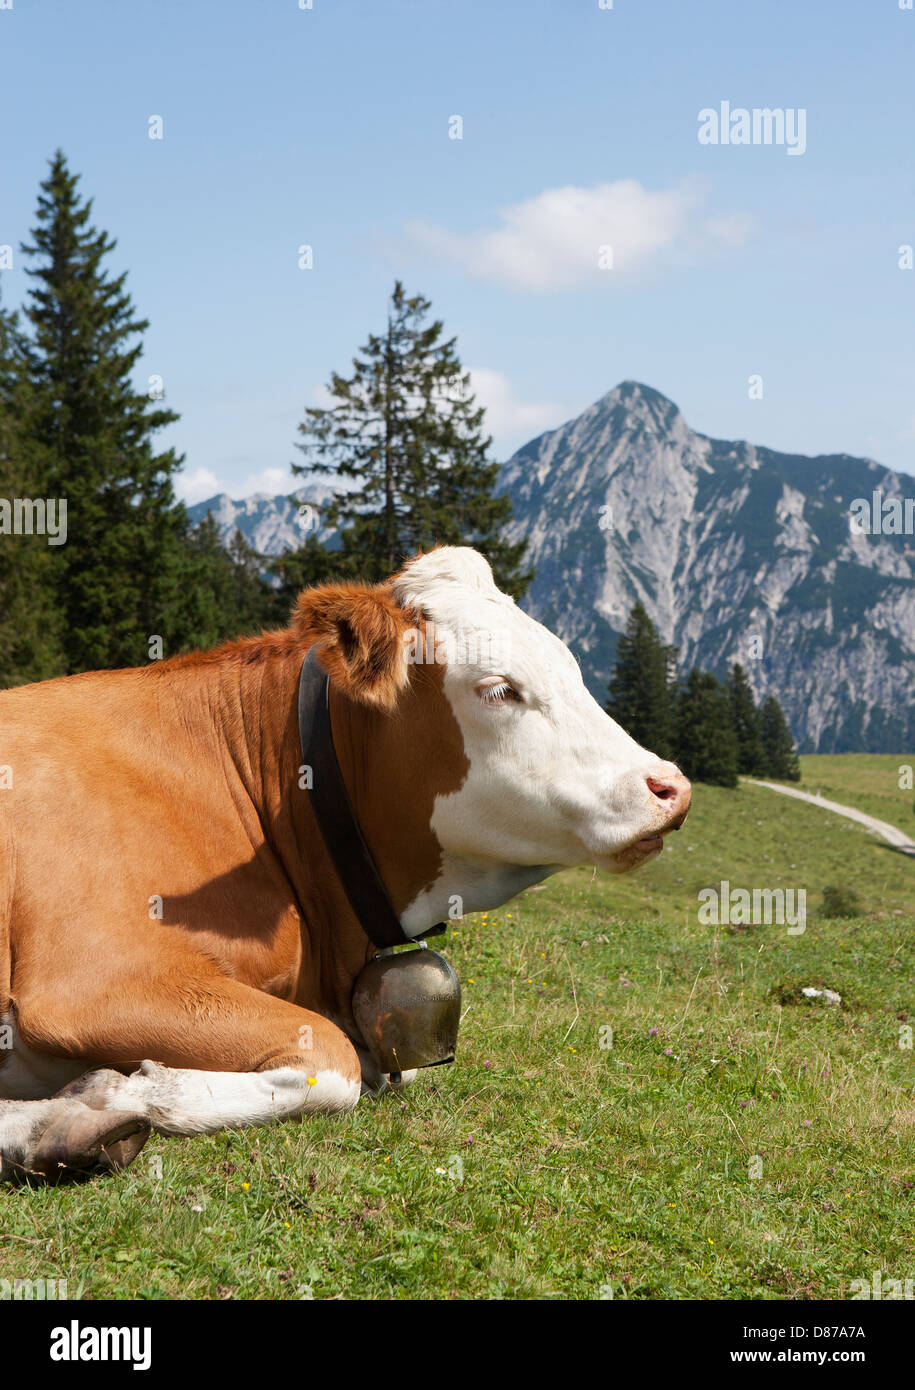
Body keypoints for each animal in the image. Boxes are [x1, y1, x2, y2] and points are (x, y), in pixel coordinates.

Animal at [0, 546, 690, 1181]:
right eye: (498, 689)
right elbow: (335, 1065)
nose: (671, 787)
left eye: (571, 669)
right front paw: (126, 1090)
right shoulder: (92, 982)